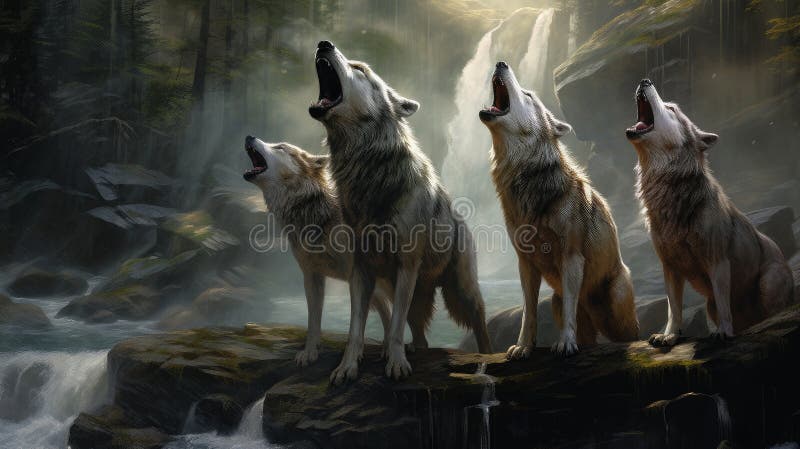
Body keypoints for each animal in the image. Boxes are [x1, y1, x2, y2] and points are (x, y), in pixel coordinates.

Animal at [243, 136, 425, 365]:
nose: (249, 137)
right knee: (387, 310)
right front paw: (310, 352)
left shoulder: (355, 274)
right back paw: (385, 347)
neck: (315, 211)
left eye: (280, 147)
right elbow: (313, 321)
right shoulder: (312, 276)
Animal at [309, 40, 491, 383]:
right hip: (412, 295)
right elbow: (356, 328)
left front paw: (395, 364)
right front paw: (347, 366)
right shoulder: (360, 270)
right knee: (419, 334)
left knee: (480, 325)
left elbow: (392, 329)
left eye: (359, 69)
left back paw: (486, 359)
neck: (368, 173)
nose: (324, 44)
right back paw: (416, 350)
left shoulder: (407, 264)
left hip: (460, 293)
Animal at [479, 61, 639, 357]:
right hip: (556, 300)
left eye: (528, 95)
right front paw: (523, 346)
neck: (526, 177)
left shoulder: (571, 256)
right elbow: (528, 312)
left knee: (632, 335)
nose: (500, 63)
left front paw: (564, 342)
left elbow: (568, 312)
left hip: (617, 309)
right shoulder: (525, 264)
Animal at [626, 79, 794, 345]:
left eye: (671, 108)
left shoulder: (718, 262)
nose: (645, 81)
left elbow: (724, 304)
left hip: (767, 284)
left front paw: (723, 332)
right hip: (709, 306)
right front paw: (669, 335)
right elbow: (673, 308)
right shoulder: (669, 267)